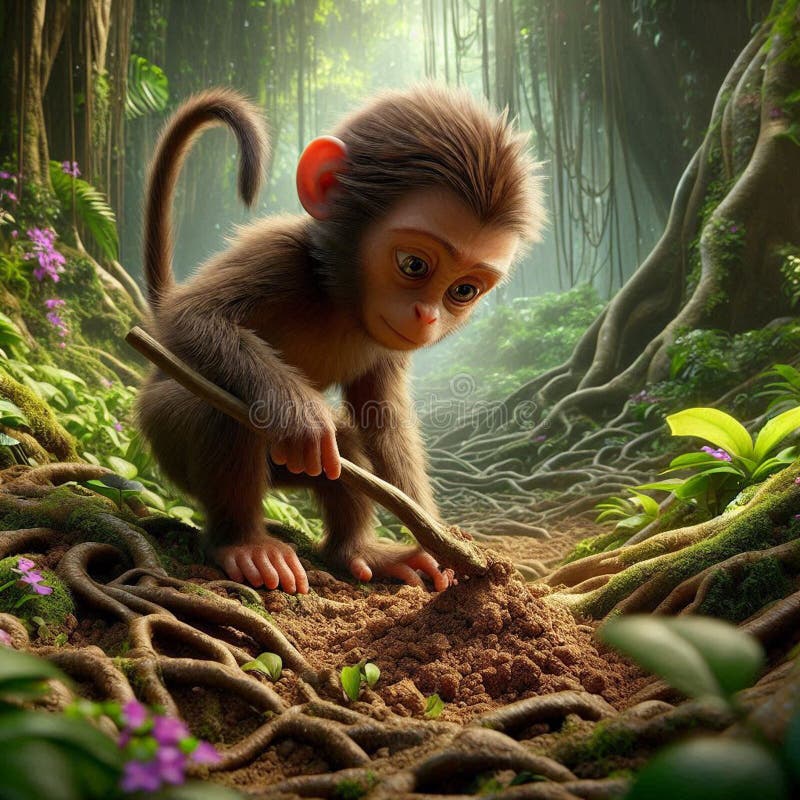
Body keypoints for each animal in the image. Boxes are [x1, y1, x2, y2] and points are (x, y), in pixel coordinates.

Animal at [134, 84, 544, 594]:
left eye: (463, 291)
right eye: (413, 264)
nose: (426, 317)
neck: (342, 301)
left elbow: (382, 422)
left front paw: (439, 539)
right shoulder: (278, 251)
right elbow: (193, 316)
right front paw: (301, 415)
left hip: (286, 468)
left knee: (344, 447)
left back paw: (357, 551)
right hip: (162, 426)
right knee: (223, 413)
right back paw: (244, 545)